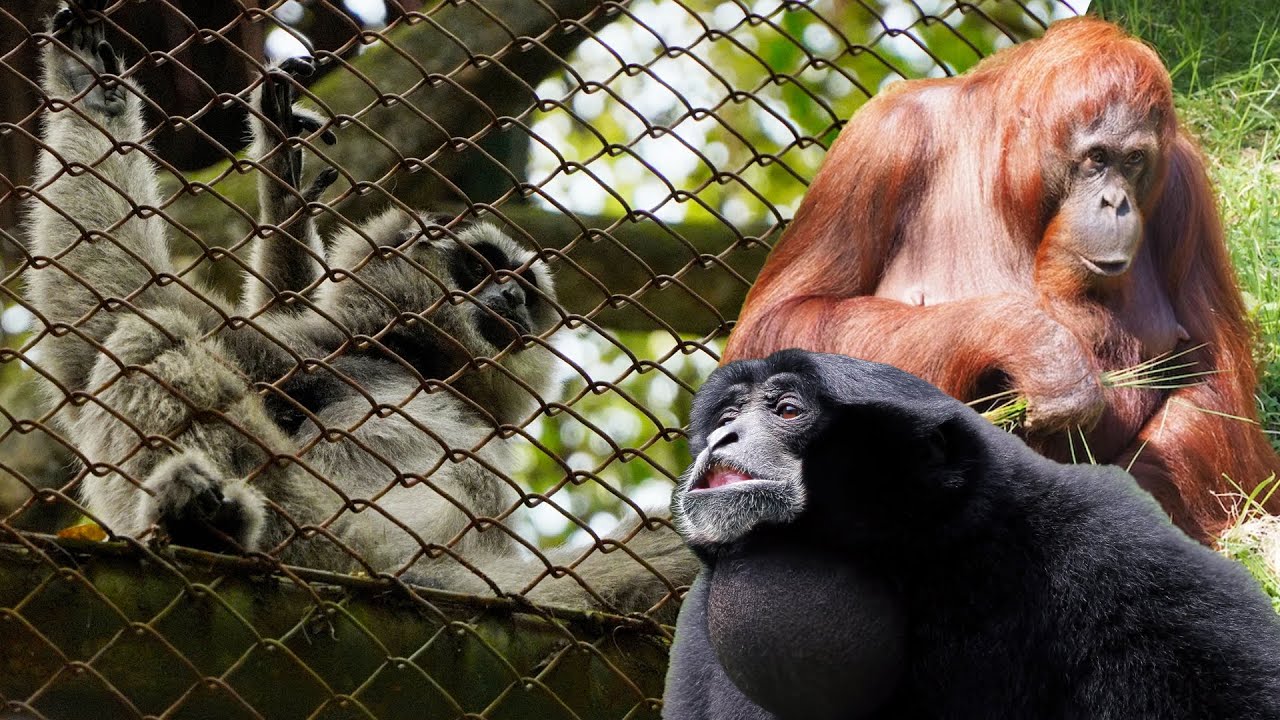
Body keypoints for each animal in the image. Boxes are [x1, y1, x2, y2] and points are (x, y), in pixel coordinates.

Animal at [23, 0, 695, 619]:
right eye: (479, 268)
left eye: (523, 292)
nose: (509, 300)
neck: (416, 361)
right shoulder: (320, 346)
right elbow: (108, 316)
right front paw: (91, 88)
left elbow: (119, 312)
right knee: (148, 329)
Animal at [663, 349, 1280, 720]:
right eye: (726, 417)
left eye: (787, 409)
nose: (721, 438)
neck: (914, 562)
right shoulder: (697, 622)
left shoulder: (1115, 543)